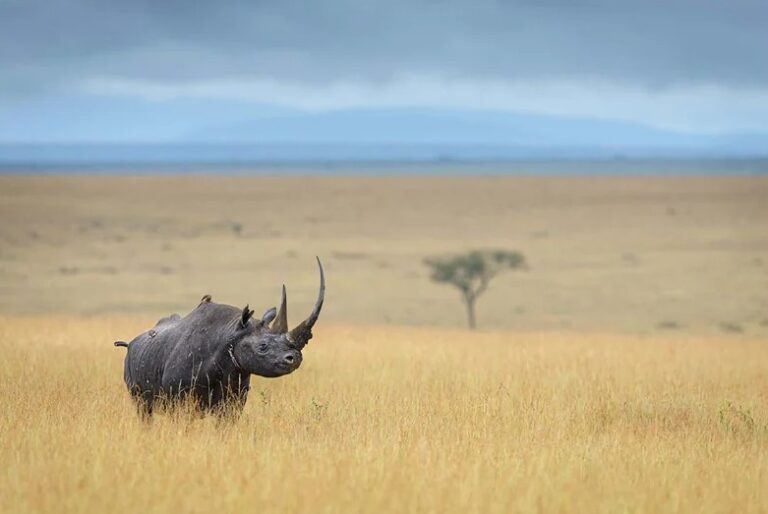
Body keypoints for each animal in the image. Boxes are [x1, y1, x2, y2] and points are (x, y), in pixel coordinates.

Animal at [114, 258, 325, 418]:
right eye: (263, 346)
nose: (294, 358)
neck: (230, 335)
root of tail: (131, 343)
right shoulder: (178, 400)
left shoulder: (234, 401)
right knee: (144, 410)